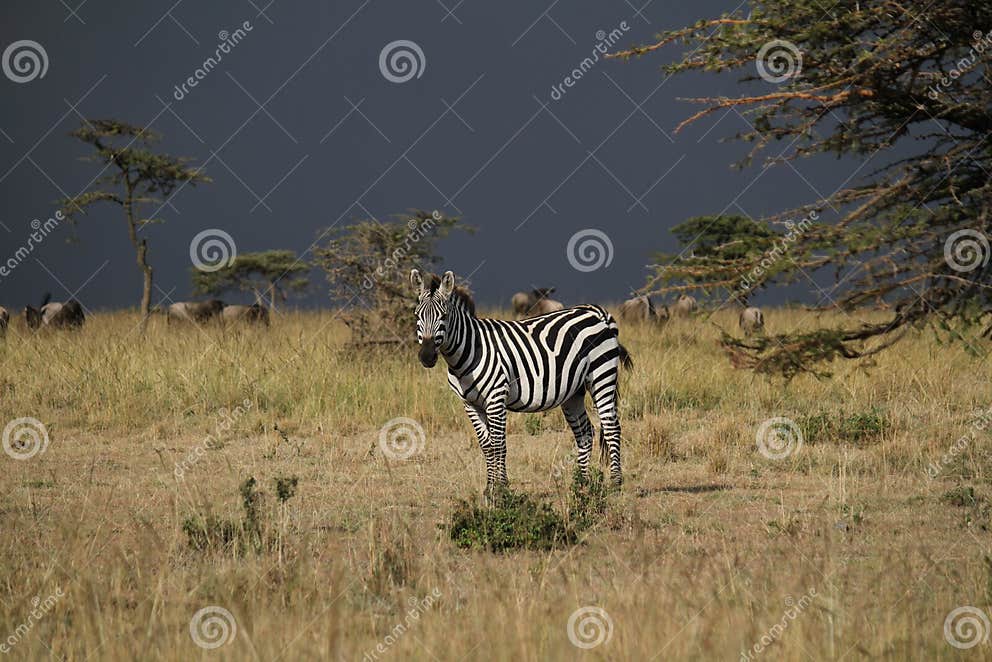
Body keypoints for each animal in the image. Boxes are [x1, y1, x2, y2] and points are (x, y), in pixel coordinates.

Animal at [411, 269, 632, 495]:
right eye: (417, 316)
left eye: (444, 316)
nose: (427, 357)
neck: (470, 349)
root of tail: (598, 314)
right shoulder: (470, 404)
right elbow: (487, 446)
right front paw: (489, 488)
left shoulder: (496, 398)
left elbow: (499, 445)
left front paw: (501, 488)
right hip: (574, 391)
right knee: (585, 432)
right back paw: (581, 484)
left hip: (602, 375)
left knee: (612, 427)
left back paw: (615, 483)